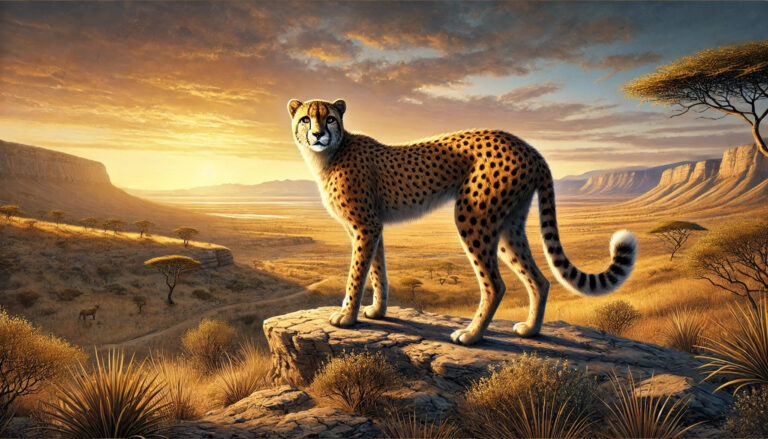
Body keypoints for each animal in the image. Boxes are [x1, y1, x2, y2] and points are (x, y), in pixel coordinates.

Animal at [287, 98, 637, 345]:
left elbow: (356, 275)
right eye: (305, 118)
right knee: (539, 279)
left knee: (495, 284)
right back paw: (531, 330)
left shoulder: (365, 226)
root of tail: (528, 147)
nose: (318, 133)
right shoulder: (373, 226)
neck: (330, 154)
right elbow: (377, 271)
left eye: (330, 118)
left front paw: (347, 317)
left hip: (473, 217)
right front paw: (377, 312)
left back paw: (471, 335)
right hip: (508, 225)